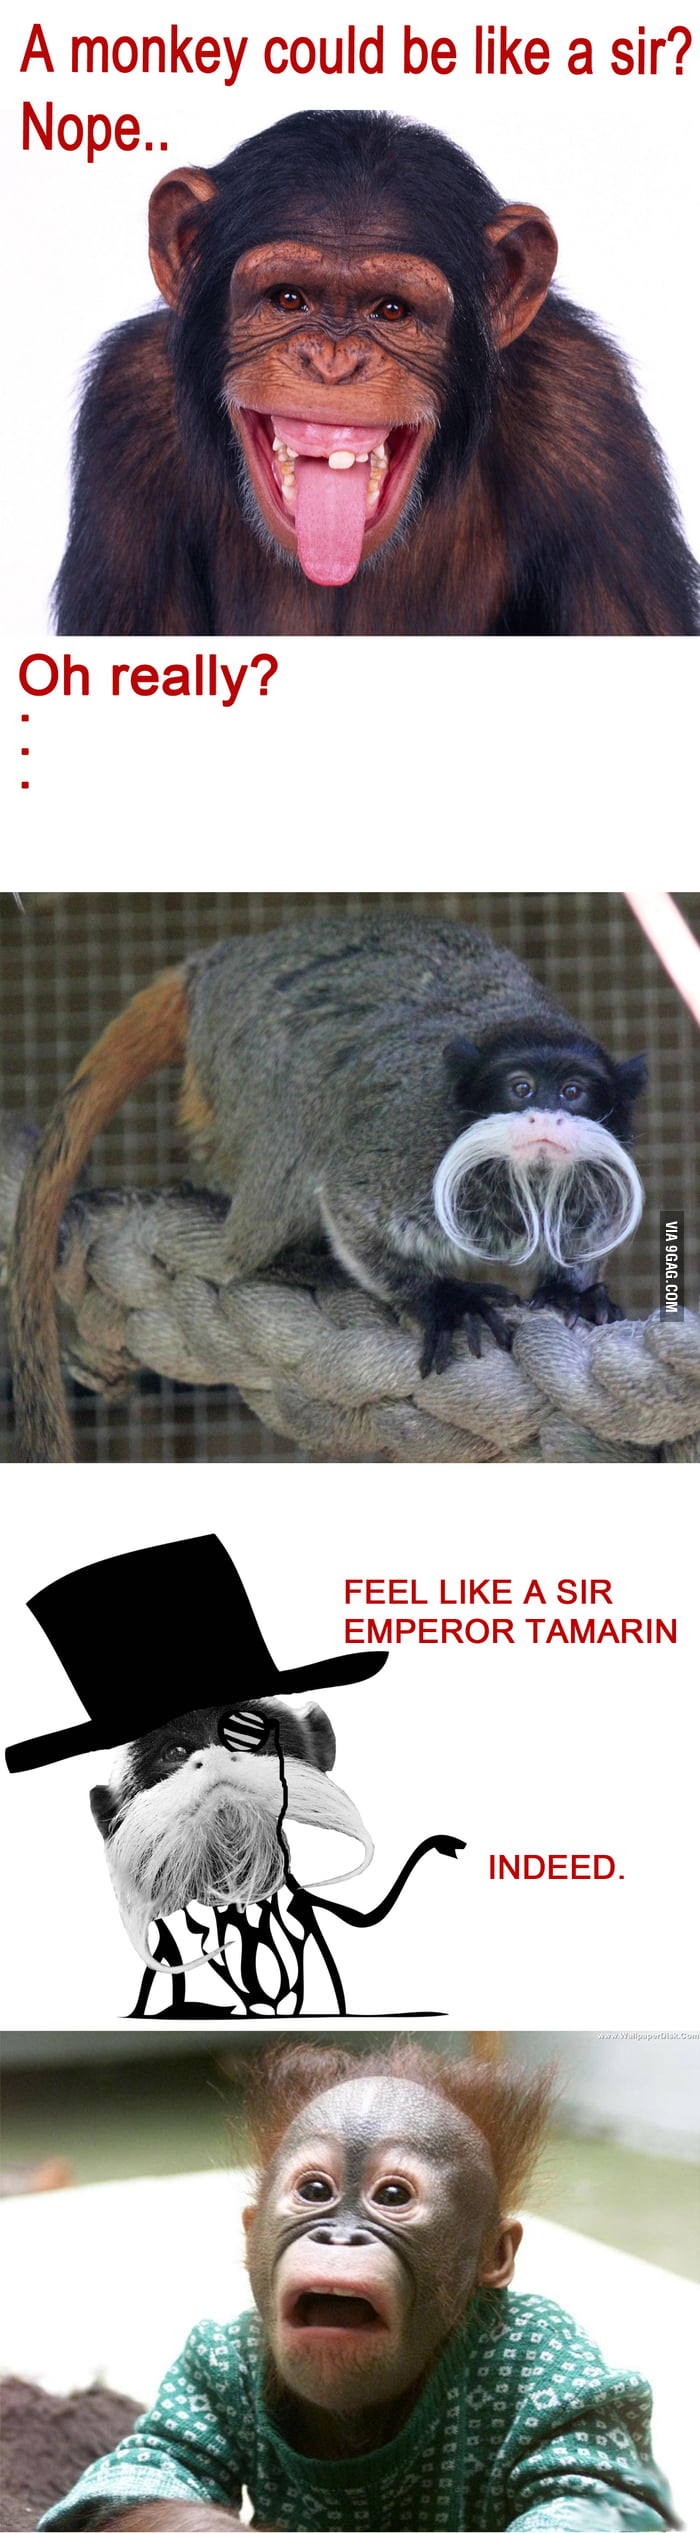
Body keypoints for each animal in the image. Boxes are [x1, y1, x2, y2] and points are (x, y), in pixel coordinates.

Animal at [8, 912, 648, 1461]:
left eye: (572, 1092)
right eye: (521, 1088)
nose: (546, 1117)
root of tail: (218, 964)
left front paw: (570, 1292)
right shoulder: (416, 1140)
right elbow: (350, 1199)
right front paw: (442, 1299)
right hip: (246, 1046)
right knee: (307, 1117)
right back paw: (280, 1259)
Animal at [40, 2042, 677, 2531]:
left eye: (392, 2196)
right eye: (315, 2191)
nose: (340, 2237)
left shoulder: (552, 2359)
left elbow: (591, 2489)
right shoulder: (210, 2361)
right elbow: (148, 2469)